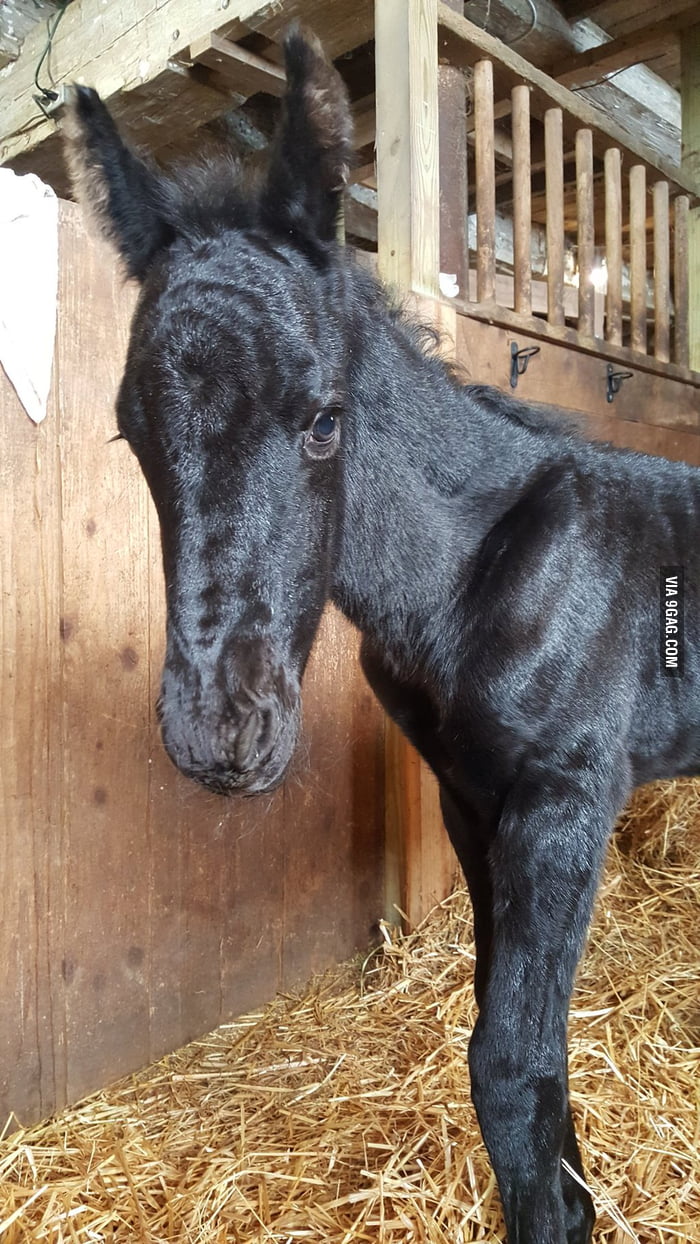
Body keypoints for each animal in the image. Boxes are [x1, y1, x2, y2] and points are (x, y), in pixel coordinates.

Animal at [65, 27, 700, 1244]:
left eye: (324, 418)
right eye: (129, 431)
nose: (223, 735)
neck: (480, 570)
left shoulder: (565, 803)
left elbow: (509, 1065)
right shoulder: (470, 800)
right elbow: (515, 1035)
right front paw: (574, 1199)